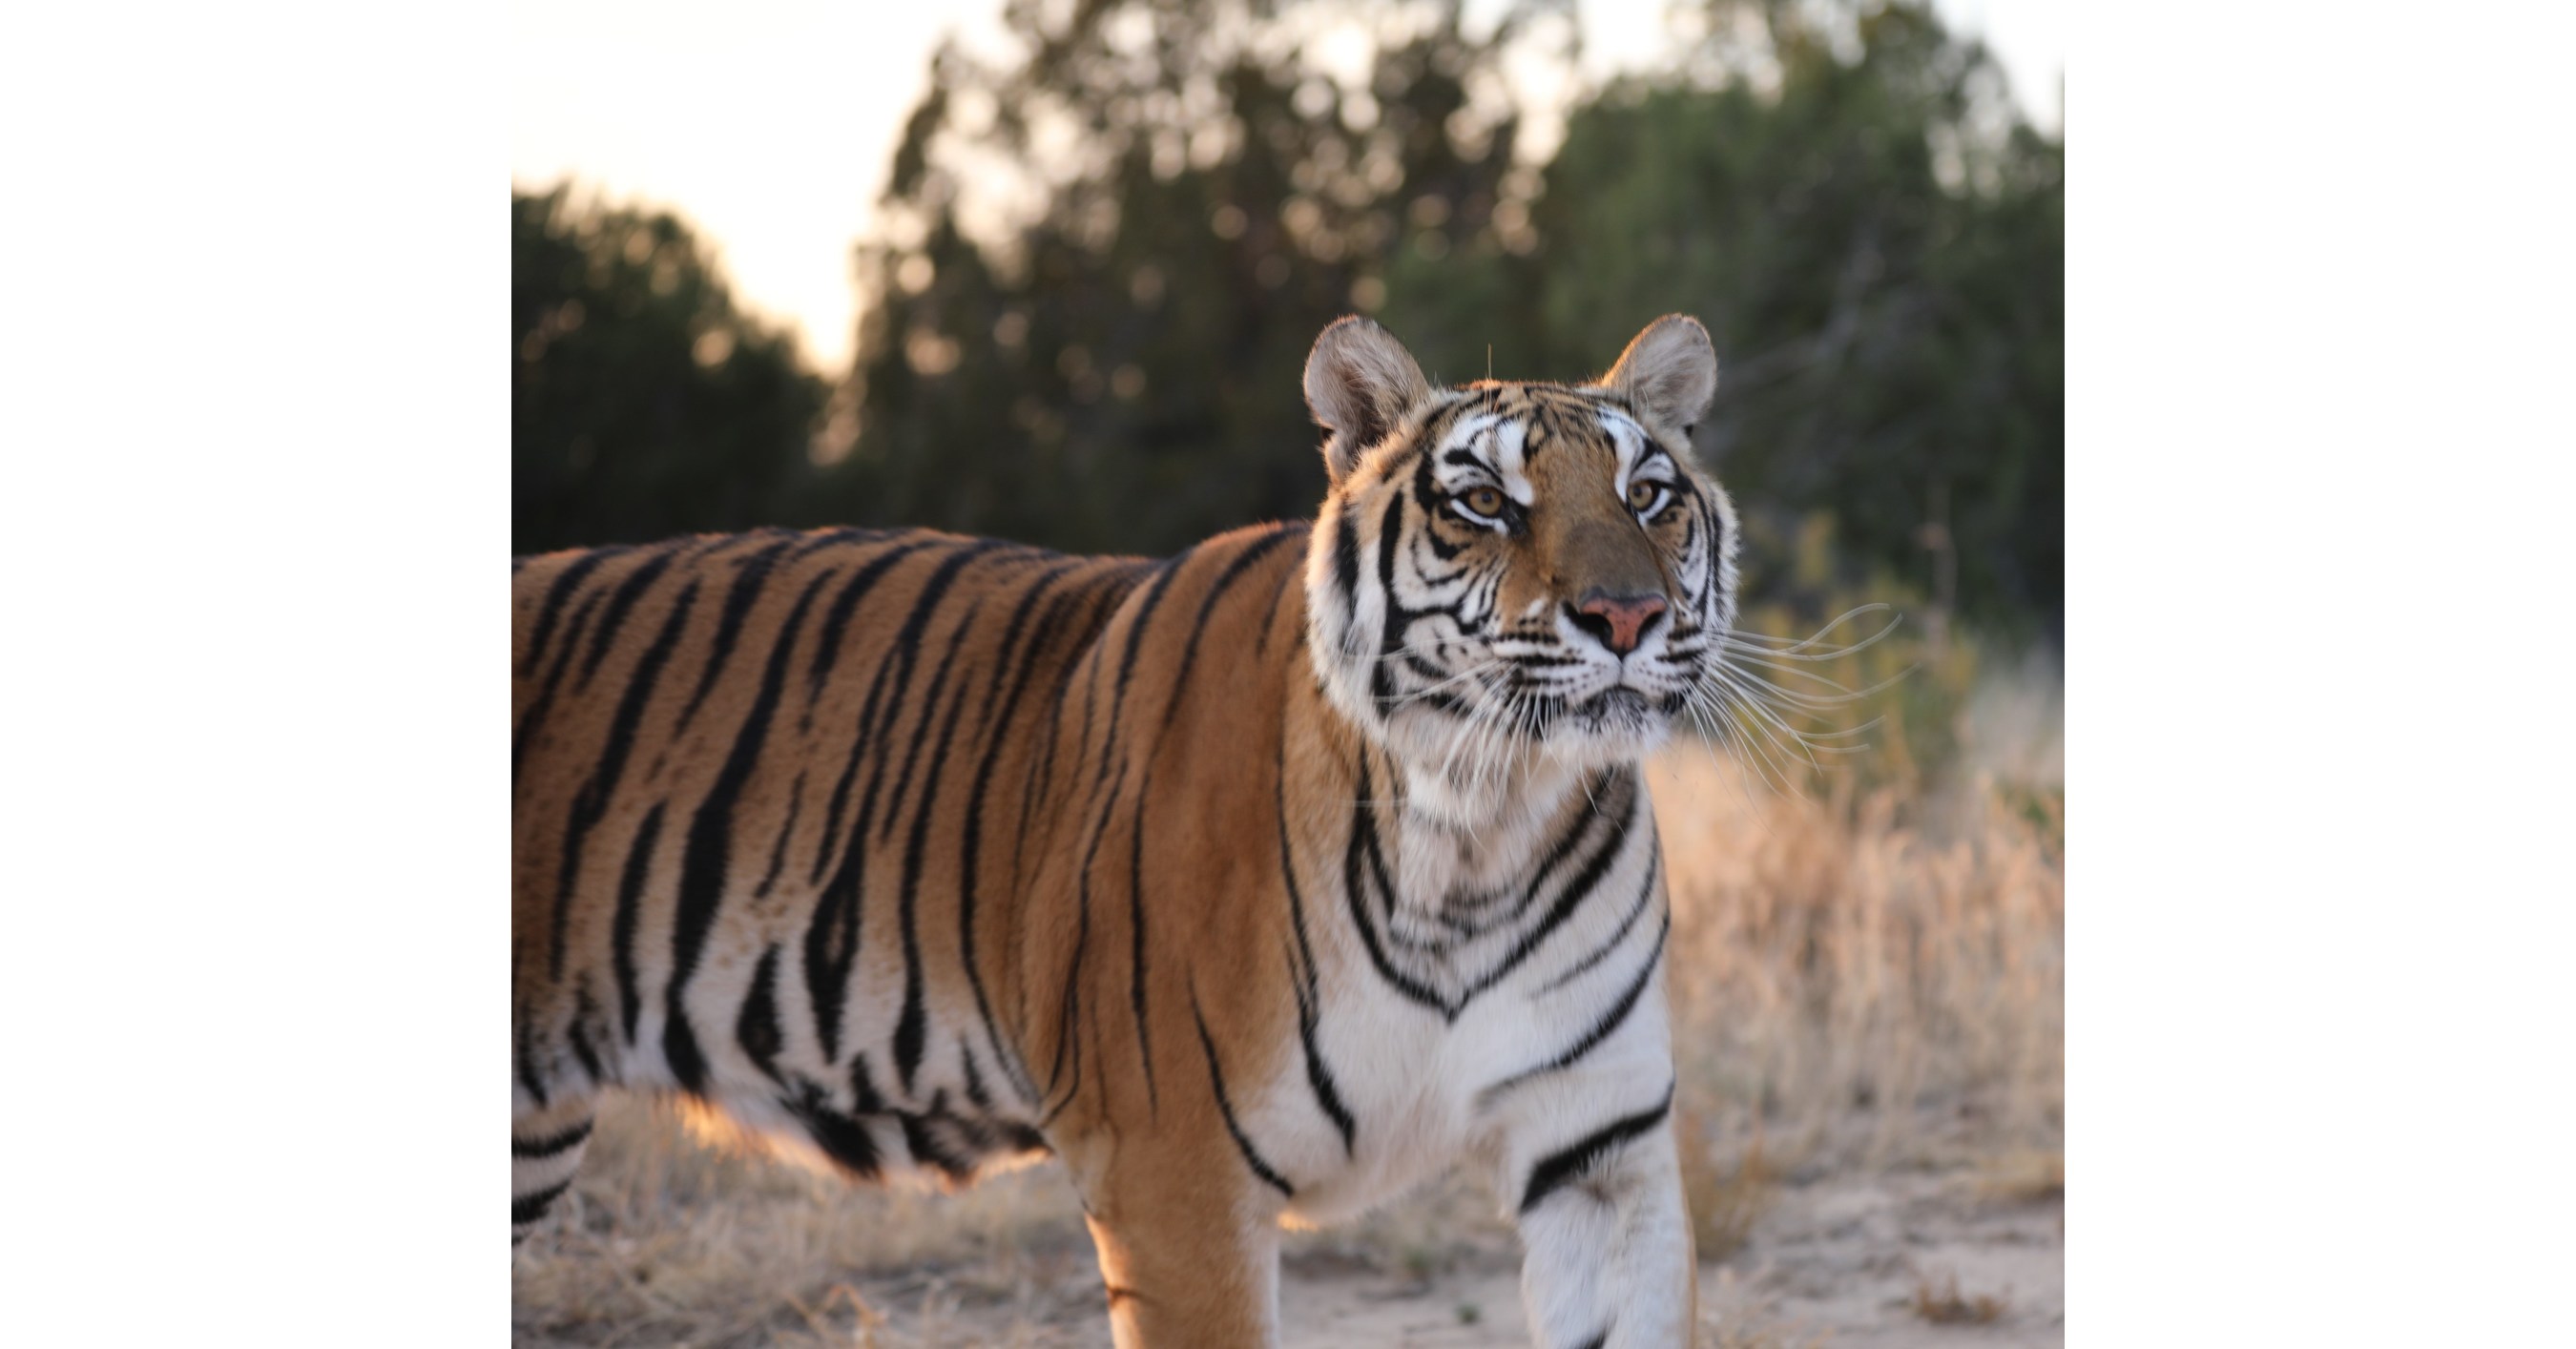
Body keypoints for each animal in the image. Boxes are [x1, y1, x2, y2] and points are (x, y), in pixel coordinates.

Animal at [512, 314, 1739, 1348]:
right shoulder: (1175, 1173)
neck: (1483, 825)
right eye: (1484, 500)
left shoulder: (1600, 1146)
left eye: (1648, 493)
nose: (1628, 616)